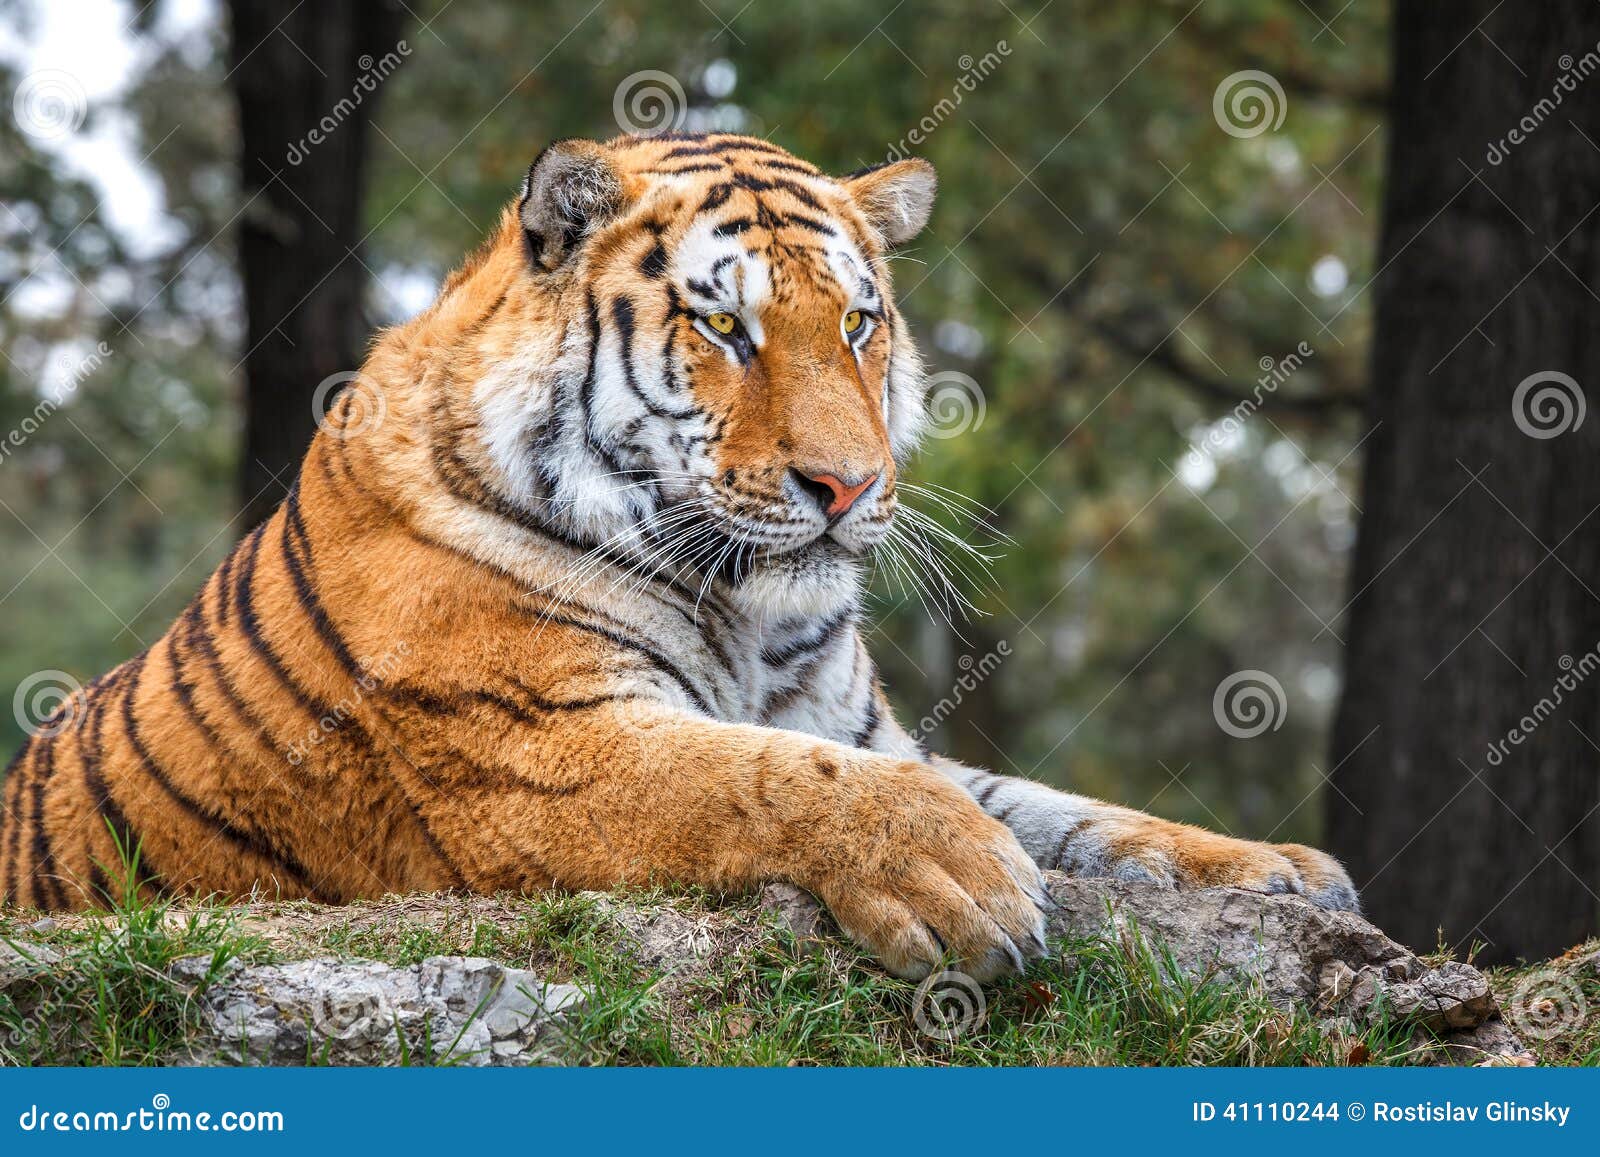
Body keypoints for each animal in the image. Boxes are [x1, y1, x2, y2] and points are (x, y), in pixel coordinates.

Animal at [0, 133, 1358, 982]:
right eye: (723, 324)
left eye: (857, 321)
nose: (847, 485)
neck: (752, 614)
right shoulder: (542, 751)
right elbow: (759, 776)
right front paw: (960, 877)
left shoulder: (868, 727)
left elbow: (1069, 809)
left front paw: (1282, 872)